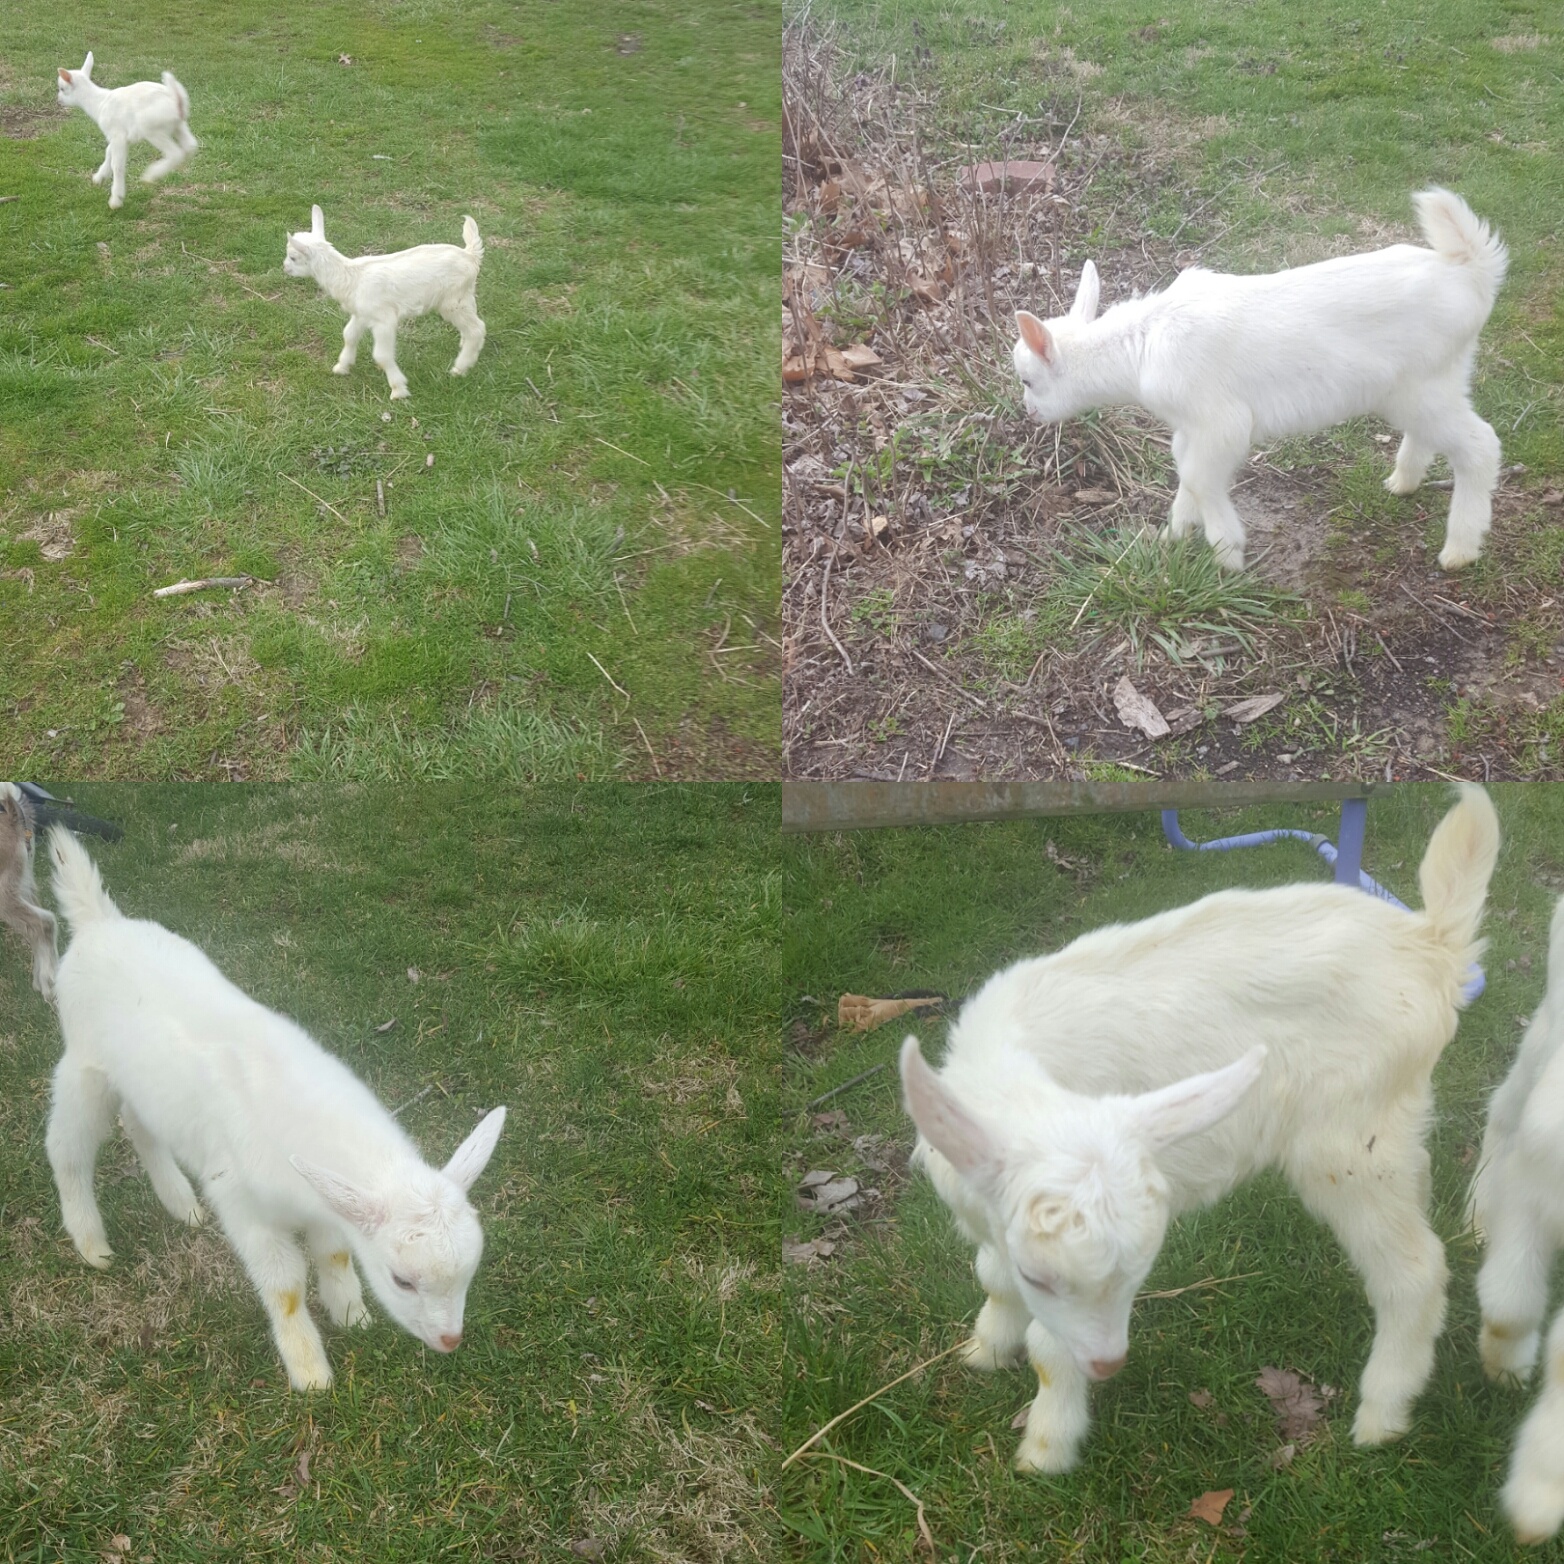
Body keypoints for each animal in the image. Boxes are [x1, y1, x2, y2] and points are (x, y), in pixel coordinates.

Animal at [45, 826, 507, 1390]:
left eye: (470, 1271)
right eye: (402, 1280)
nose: (449, 1341)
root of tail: (97, 920)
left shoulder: (326, 1199)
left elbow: (334, 1253)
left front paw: (351, 1314)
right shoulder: (244, 1202)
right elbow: (284, 1287)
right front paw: (309, 1370)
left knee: (137, 1122)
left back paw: (181, 1203)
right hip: (85, 1064)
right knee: (66, 1145)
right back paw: (92, 1244)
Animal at [56, 51, 197, 211]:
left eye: (62, 88)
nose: (58, 100)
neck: (98, 103)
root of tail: (177, 100)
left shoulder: (117, 135)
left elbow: (117, 165)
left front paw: (116, 199)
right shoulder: (119, 136)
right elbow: (108, 152)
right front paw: (99, 177)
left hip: (151, 128)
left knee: (175, 153)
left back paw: (150, 176)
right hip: (179, 125)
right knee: (191, 145)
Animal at [283, 205, 486, 400]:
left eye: (293, 257)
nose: (284, 267)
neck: (351, 277)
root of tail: (471, 256)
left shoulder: (383, 319)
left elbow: (381, 355)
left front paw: (398, 390)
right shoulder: (361, 313)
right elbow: (349, 335)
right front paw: (342, 367)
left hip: (452, 301)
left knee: (477, 328)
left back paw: (460, 368)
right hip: (464, 295)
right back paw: (468, 348)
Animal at [901, 785, 1499, 1472]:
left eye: (1137, 1274)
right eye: (1037, 1277)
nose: (1108, 1364)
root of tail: (1430, 945)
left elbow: (1051, 1351)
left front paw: (1046, 1447)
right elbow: (992, 1276)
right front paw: (986, 1349)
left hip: (1346, 1142)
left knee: (1415, 1268)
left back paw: (1382, 1413)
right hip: (1391, 1125)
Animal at [1012, 189, 1507, 573]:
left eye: (1030, 381)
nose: (1029, 413)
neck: (1141, 347)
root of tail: (1471, 272)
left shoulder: (1221, 422)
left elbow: (1199, 477)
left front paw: (1227, 553)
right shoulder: (1190, 427)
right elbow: (1186, 472)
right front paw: (1174, 535)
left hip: (1424, 386)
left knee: (1481, 444)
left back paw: (1460, 550)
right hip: (1426, 385)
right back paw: (1403, 483)